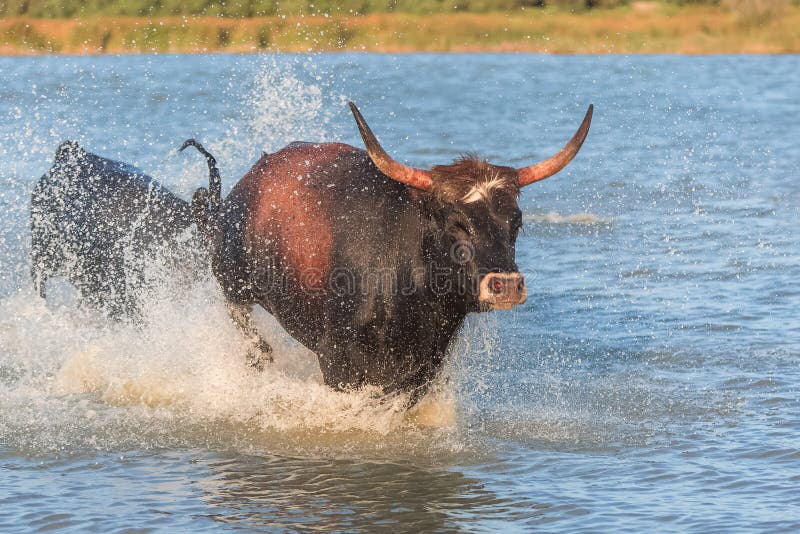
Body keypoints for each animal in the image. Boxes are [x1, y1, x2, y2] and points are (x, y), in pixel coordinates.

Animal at [200, 102, 593, 402]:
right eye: (456, 223)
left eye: (516, 221)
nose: (506, 285)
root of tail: (249, 181)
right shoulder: (336, 359)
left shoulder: (426, 367)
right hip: (233, 285)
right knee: (253, 341)